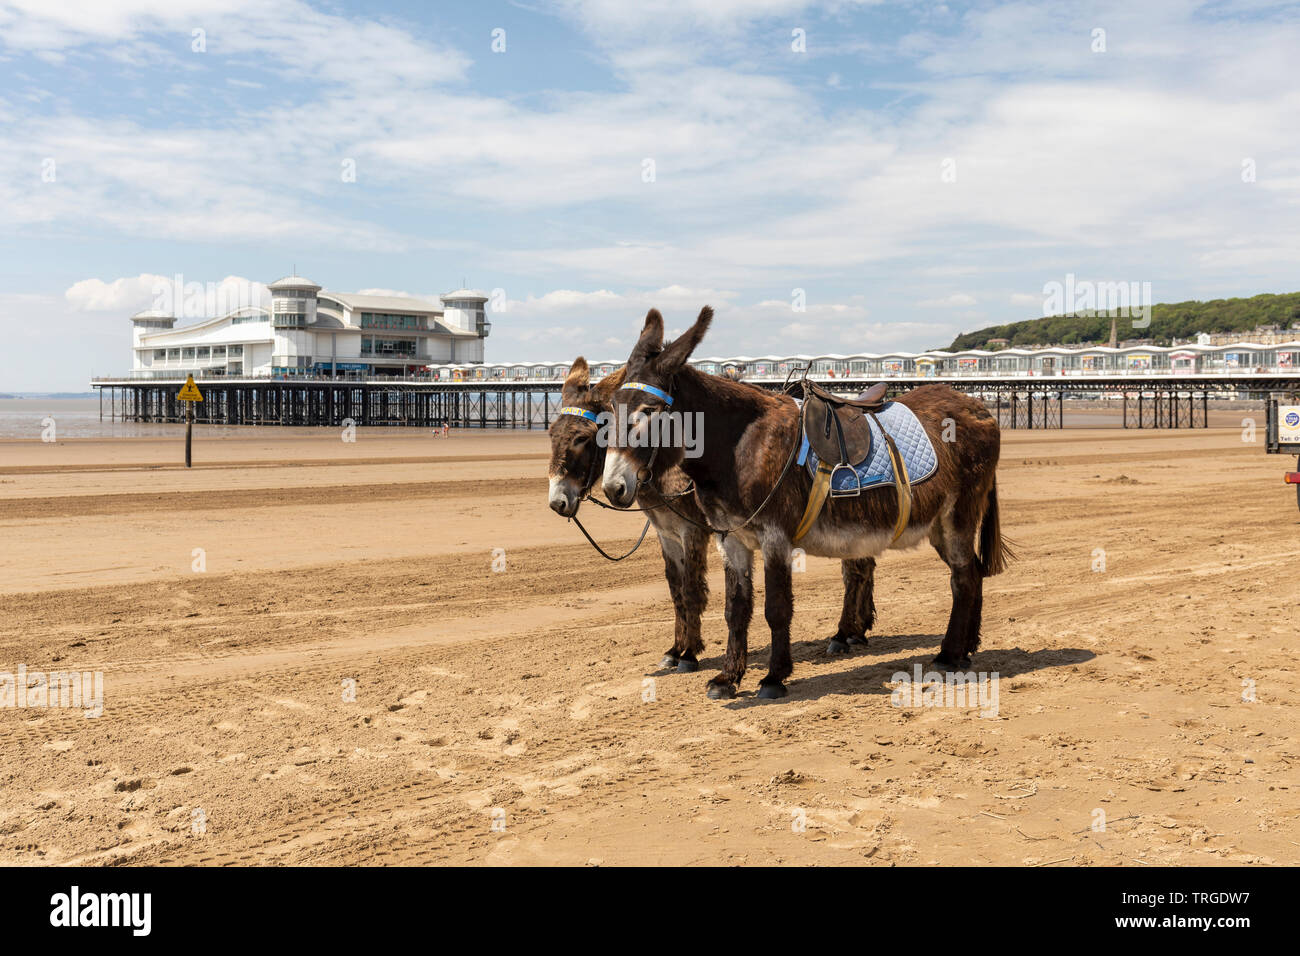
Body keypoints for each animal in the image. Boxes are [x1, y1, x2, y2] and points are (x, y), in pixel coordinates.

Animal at [547, 357, 881, 673]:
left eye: (582, 438)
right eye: (551, 433)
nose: (557, 502)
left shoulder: (693, 532)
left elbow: (692, 590)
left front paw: (689, 654)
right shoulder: (667, 535)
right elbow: (675, 590)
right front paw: (675, 650)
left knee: (855, 571)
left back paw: (843, 634)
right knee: (863, 565)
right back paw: (857, 630)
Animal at [600, 308, 1010, 700]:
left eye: (649, 411)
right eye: (611, 410)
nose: (613, 488)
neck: (740, 445)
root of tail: (978, 406)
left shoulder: (775, 537)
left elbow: (776, 609)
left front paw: (773, 678)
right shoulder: (730, 539)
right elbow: (736, 610)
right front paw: (728, 678)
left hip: (958, 516)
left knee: (963, 578)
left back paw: (948, 655)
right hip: (940, 524)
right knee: (972, 573)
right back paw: (965, 649)